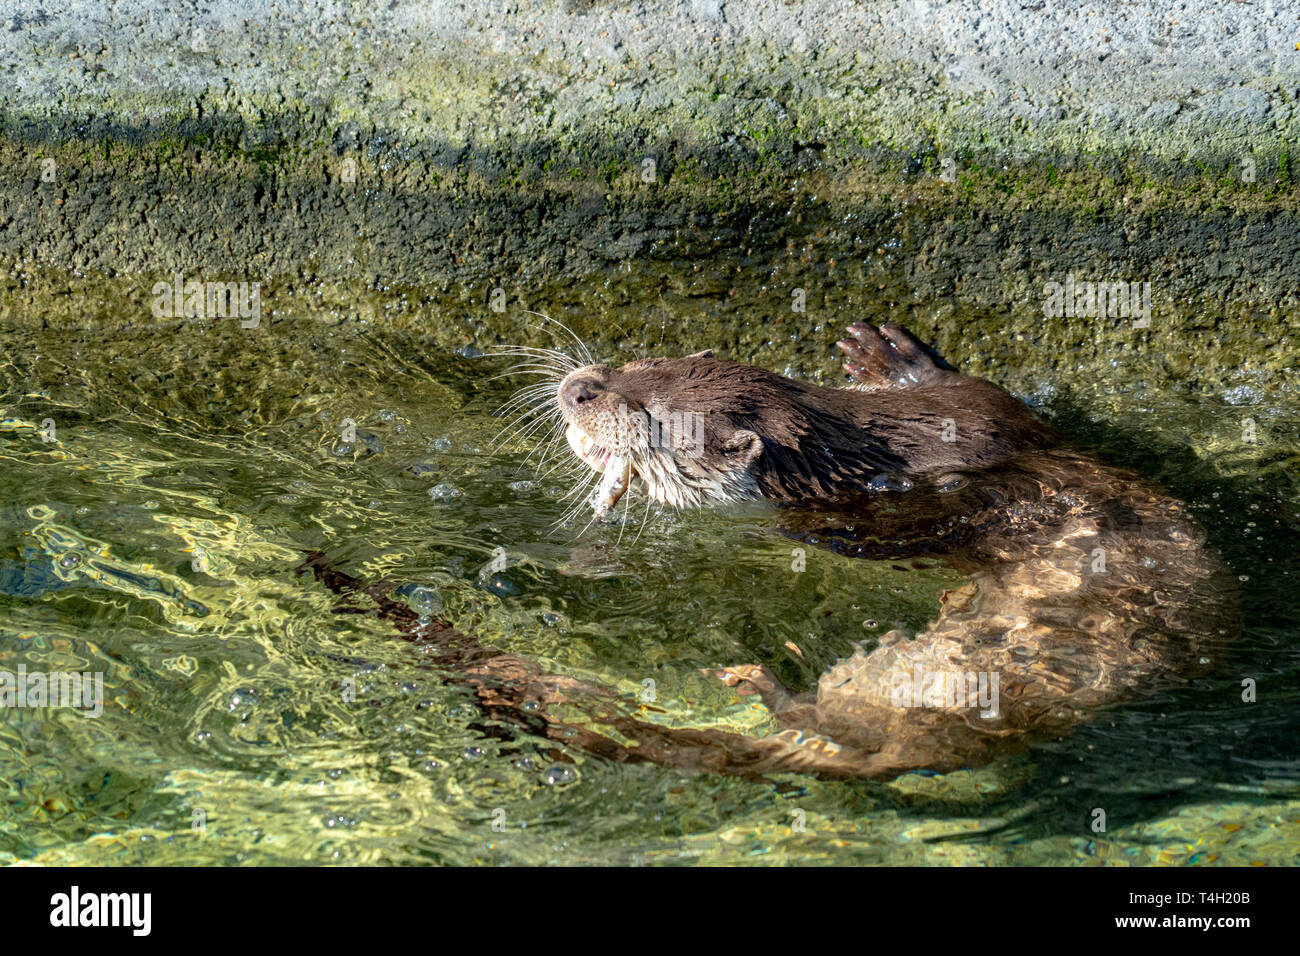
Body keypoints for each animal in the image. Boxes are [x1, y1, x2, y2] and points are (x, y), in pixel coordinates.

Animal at [307, 323, 1235, 780]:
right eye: (636, 362)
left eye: (650, 416)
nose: (579, 388)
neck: (854, 448)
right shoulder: (984, 402)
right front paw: (887, 353)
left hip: (958, 696)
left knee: (851, 731)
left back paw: (762, 684)